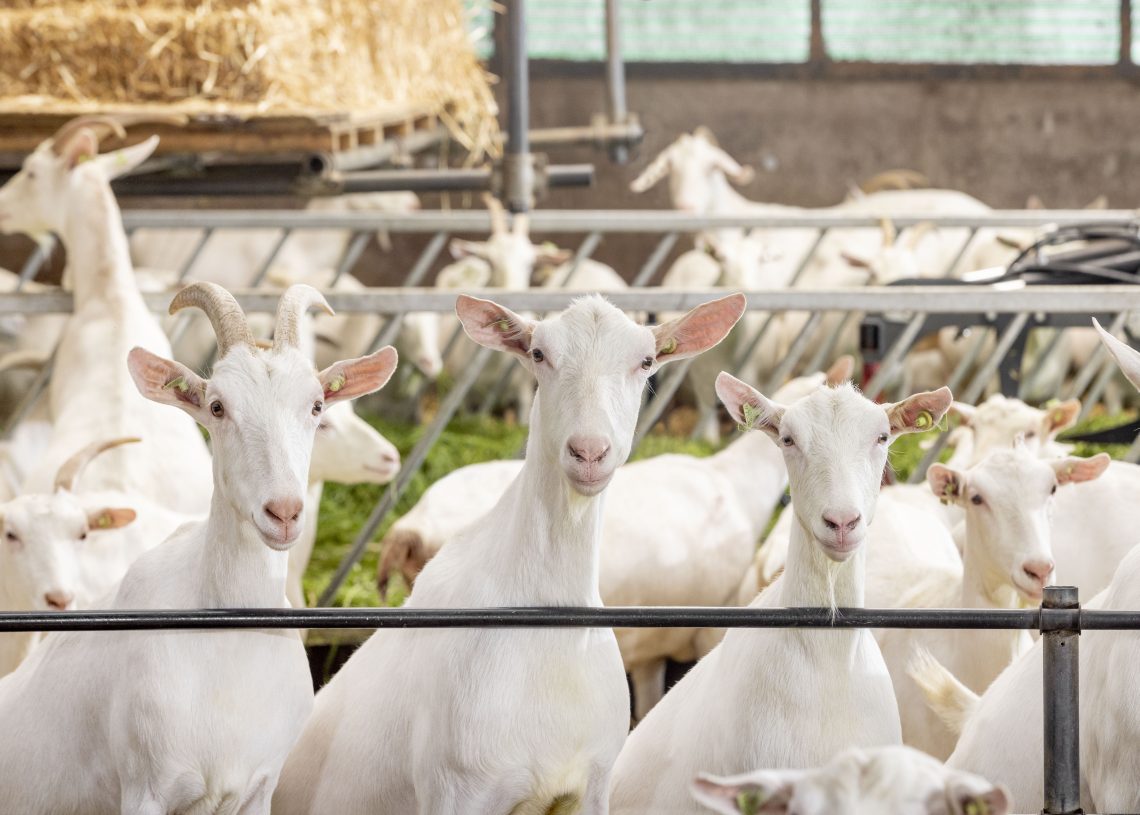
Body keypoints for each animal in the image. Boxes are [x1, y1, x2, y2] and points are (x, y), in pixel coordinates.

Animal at [272, 292, 745, 814]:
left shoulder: (592, 783)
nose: (588, 452)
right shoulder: (458, 789)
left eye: (645, 362)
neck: (545, 623)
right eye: (539, 354)